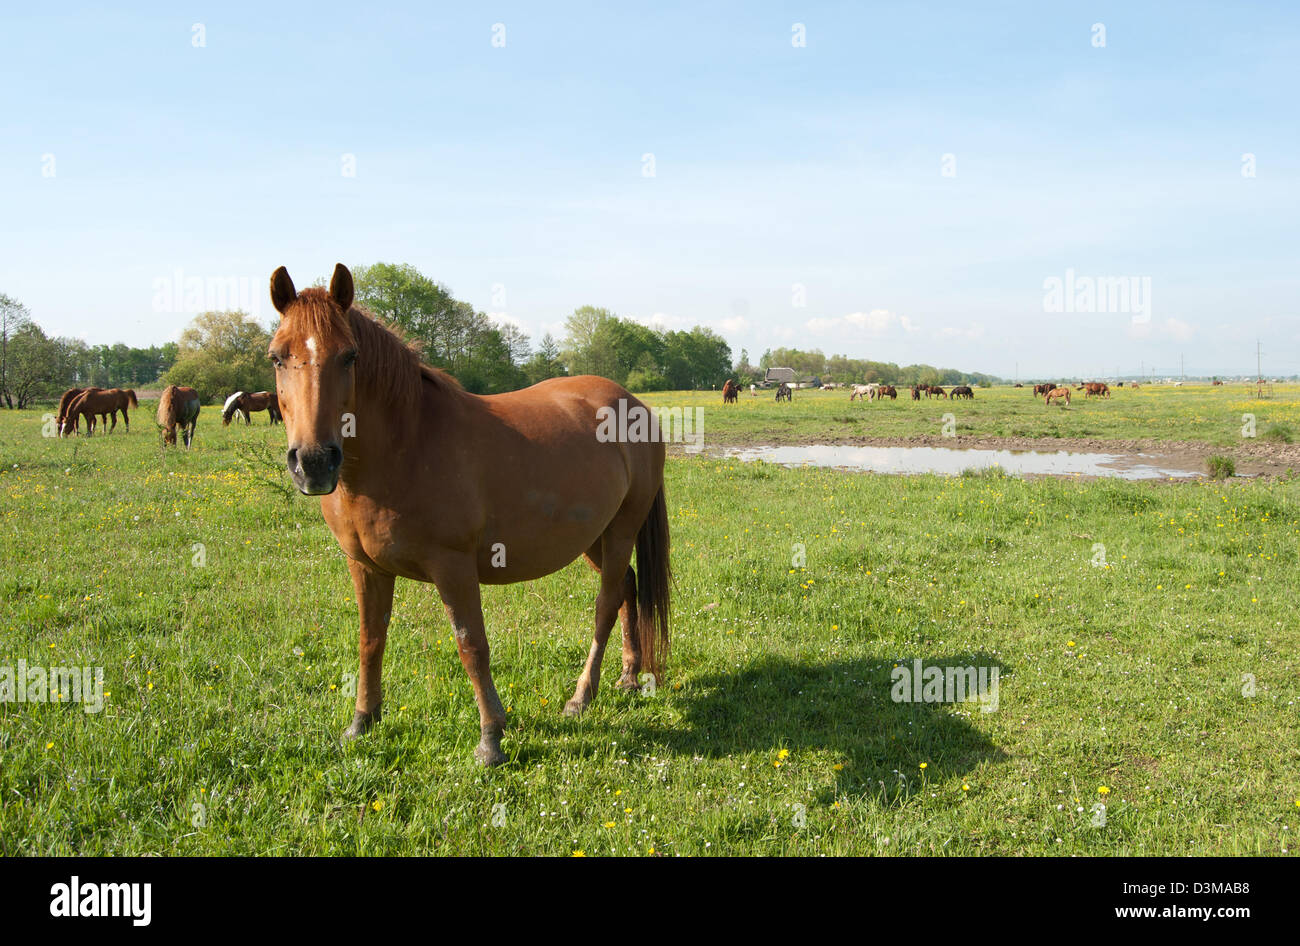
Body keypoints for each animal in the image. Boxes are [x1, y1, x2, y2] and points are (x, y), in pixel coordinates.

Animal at [268, 264, 671, 767]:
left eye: (349, 356)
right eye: (276, 357)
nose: (314, 462)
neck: (407, 443)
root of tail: (634, 403)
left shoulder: (453, 567)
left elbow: (471, 645)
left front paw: (490, 737)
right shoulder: (365, 566)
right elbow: (370, 640)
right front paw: (362, 721)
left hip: (621, 530)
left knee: (606, 603)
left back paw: (582, 696)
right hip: (593, 537)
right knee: (628, 589)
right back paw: (629, 676)